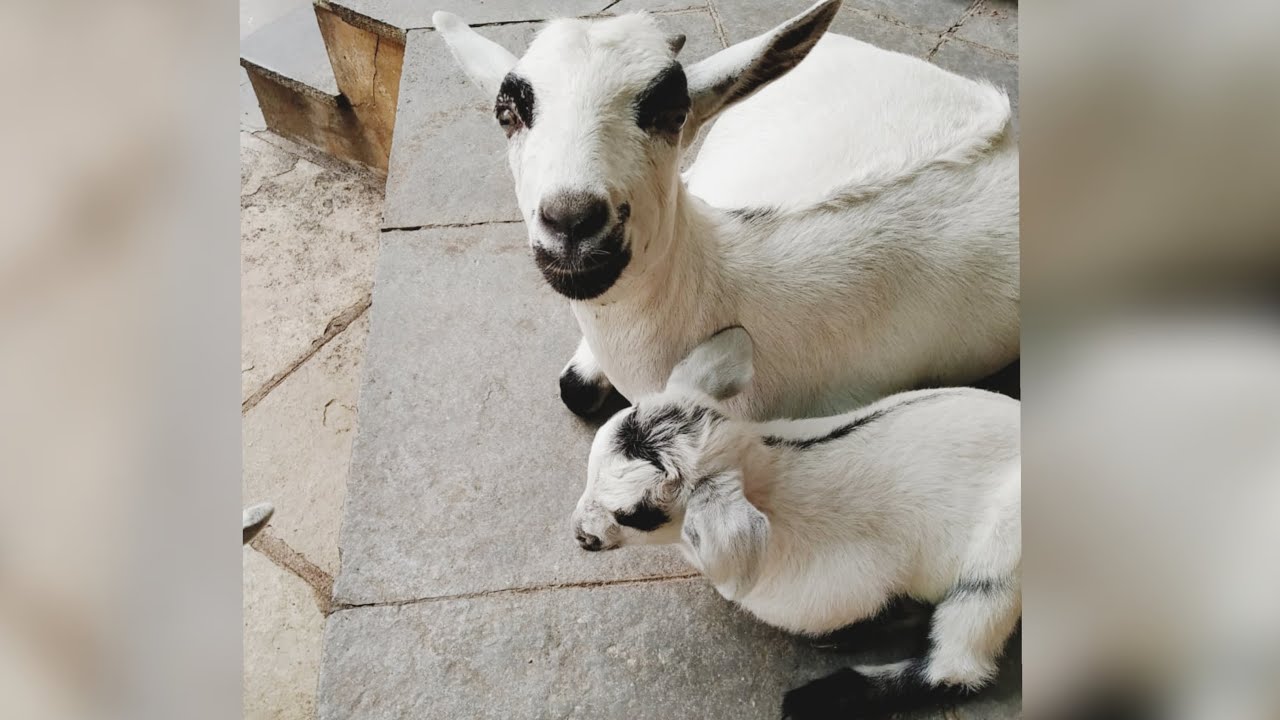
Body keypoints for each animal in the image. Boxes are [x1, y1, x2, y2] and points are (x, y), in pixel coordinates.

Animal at [571, 327, 1021, 718]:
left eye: (635, 516)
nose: (581, 535)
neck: (769, 478)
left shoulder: (842, 585)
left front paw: (857, 632)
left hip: (999, 560)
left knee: (958, 665)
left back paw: (816, 699)